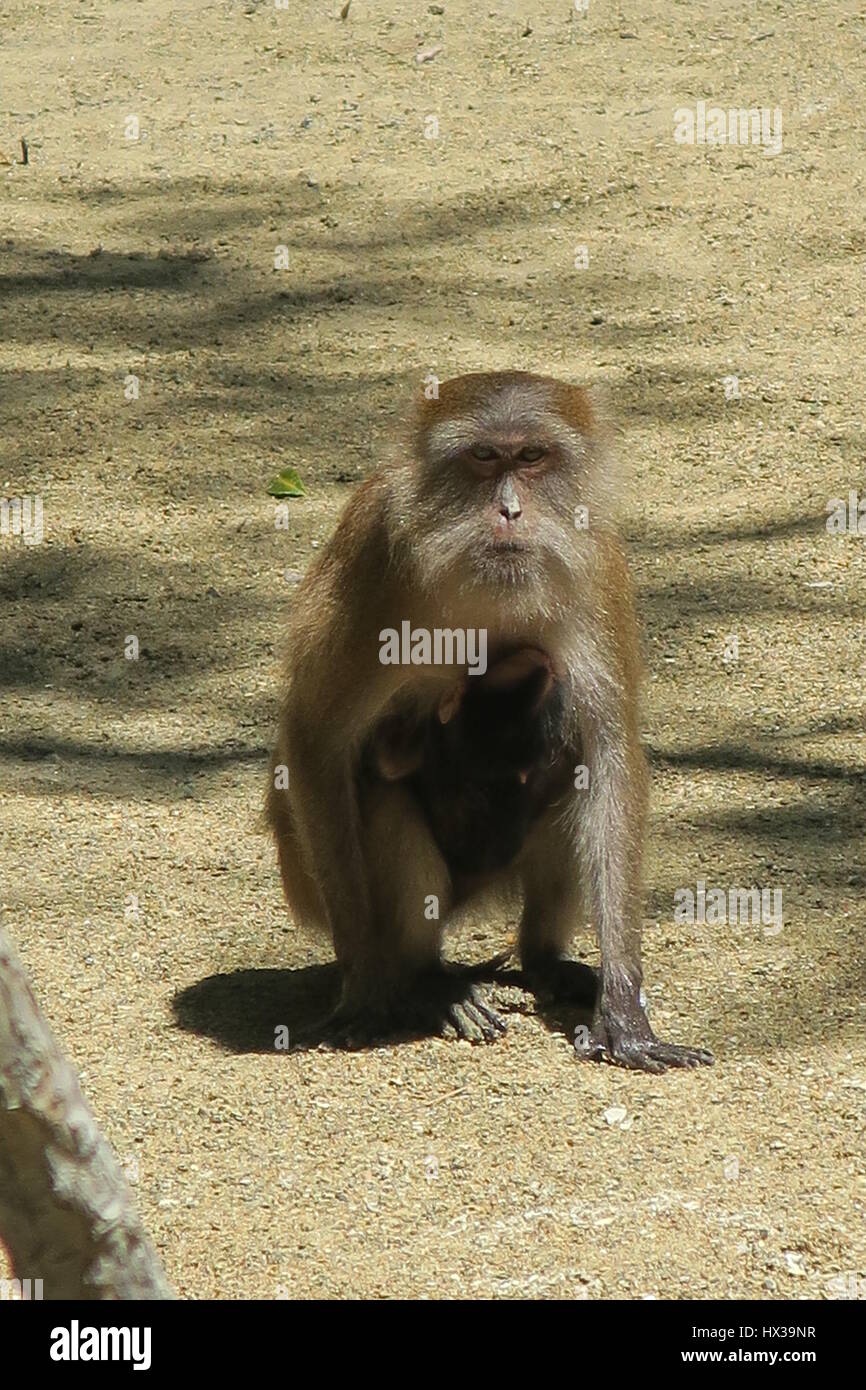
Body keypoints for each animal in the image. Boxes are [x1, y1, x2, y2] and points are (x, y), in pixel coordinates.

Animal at [266, 370, 713, 1071]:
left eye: (530, 457)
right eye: (483, 458)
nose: (508, 511)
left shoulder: (597, 562)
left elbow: (610, 754)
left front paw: (623, 1009)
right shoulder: (376, 552)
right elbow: (316, 738)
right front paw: (366, 990)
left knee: (575, 765)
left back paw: (543, 960)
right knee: (380, 792)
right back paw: (427, 981)